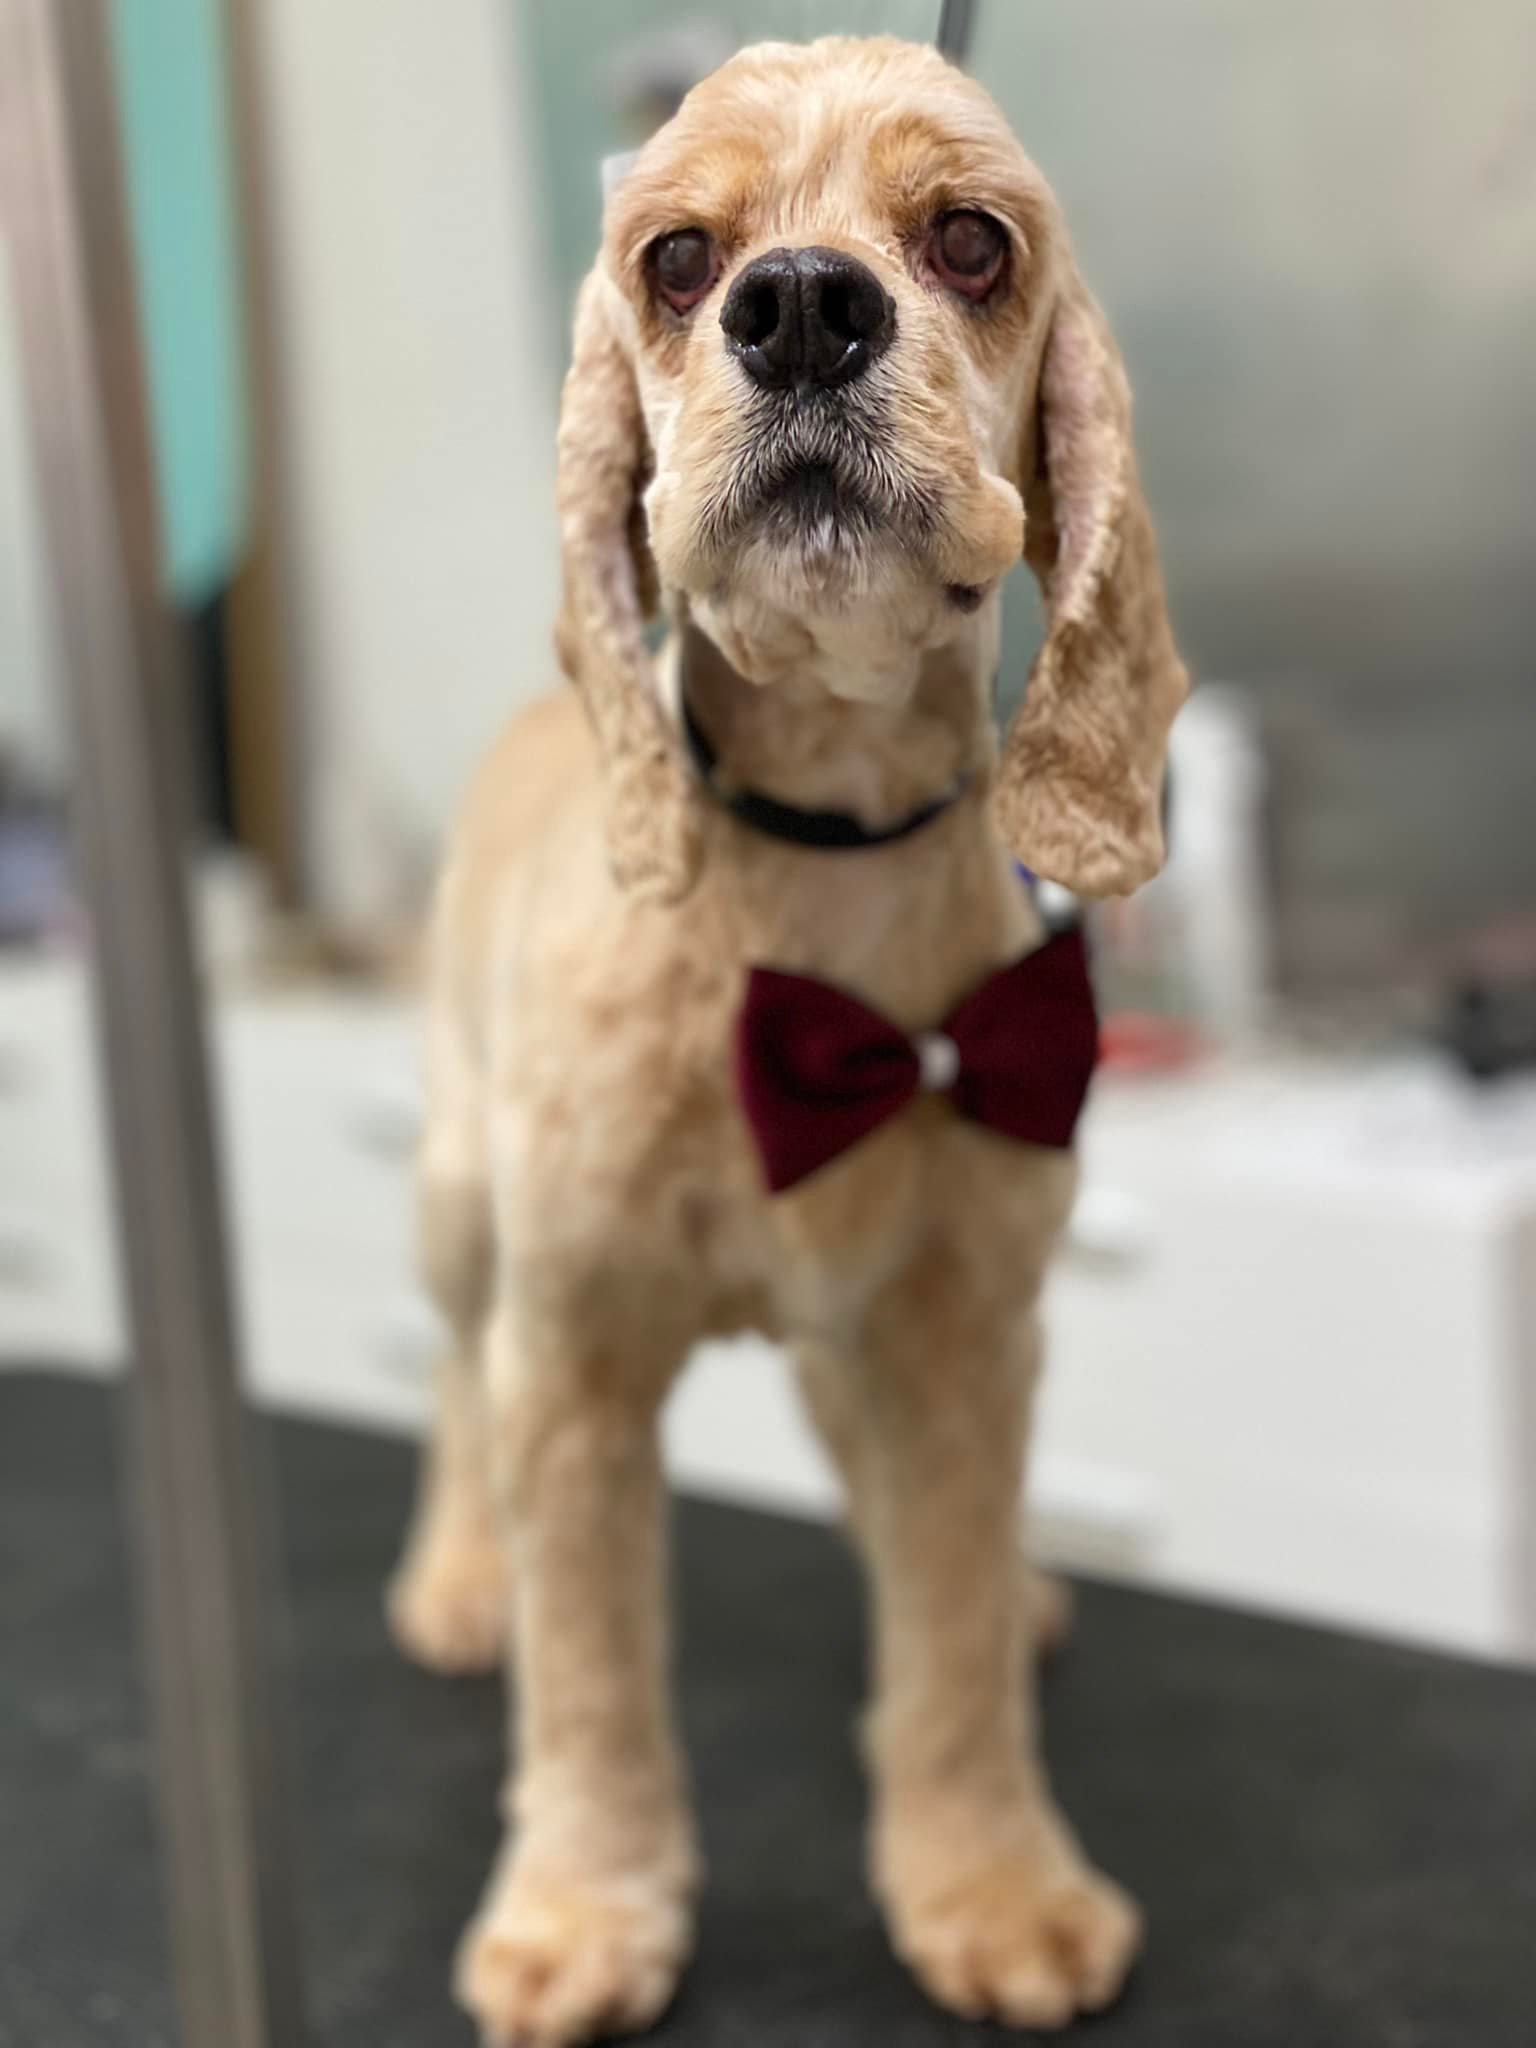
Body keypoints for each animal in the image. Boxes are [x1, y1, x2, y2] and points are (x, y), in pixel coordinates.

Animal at [387, 35, 1186, 2047]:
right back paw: (459, 1574)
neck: (816, 894)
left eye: (970, 239)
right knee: (450, 1387)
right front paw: (580, 1913)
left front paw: (991, 1880)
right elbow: (593, 1679)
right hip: (458, 1199)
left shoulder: (964, 1322)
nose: (804, 307)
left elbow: (951, 1629)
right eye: (678, 259)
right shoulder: (575, 1359)